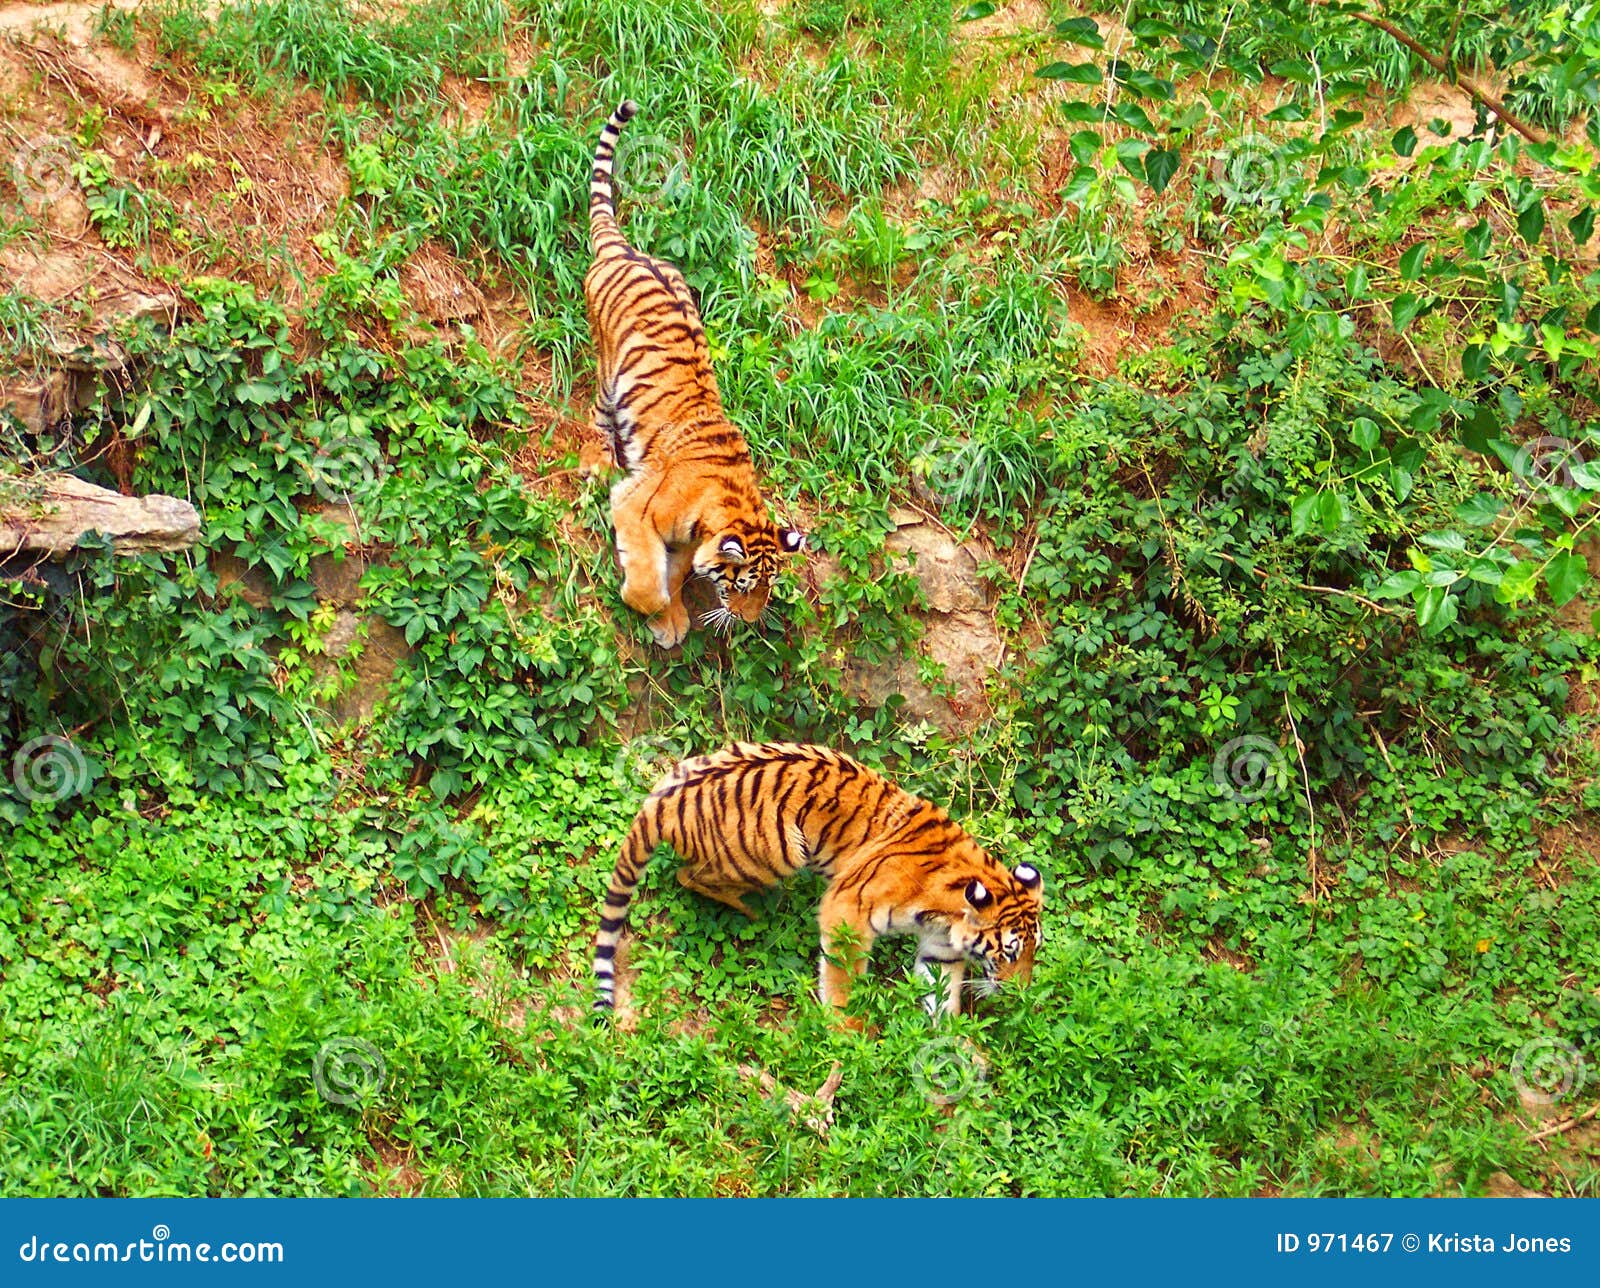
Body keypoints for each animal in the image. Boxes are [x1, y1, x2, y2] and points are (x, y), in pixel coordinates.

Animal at [585, 101, 804, 649]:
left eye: (768, 587)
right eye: (743, 584)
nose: (749, 621)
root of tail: (624, 250)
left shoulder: (687, 542)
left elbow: (677, 571)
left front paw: (673, 616)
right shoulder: (634, 505)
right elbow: (648, 575)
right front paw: (650, 607)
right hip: (607, 369)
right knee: (598, 412)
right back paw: (596, 461)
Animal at [591, 741, 1044, 1025]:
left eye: (1033, 952)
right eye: (1008, 953)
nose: (1021, 993)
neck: (947, 913)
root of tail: (662, 797)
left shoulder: (941, 949)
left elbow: (939, 994)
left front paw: (943, 1042)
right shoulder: (849, 912)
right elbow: (843, 978)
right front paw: (847, 1030)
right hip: (778, 853)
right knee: (689, 875)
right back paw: (757, 907)